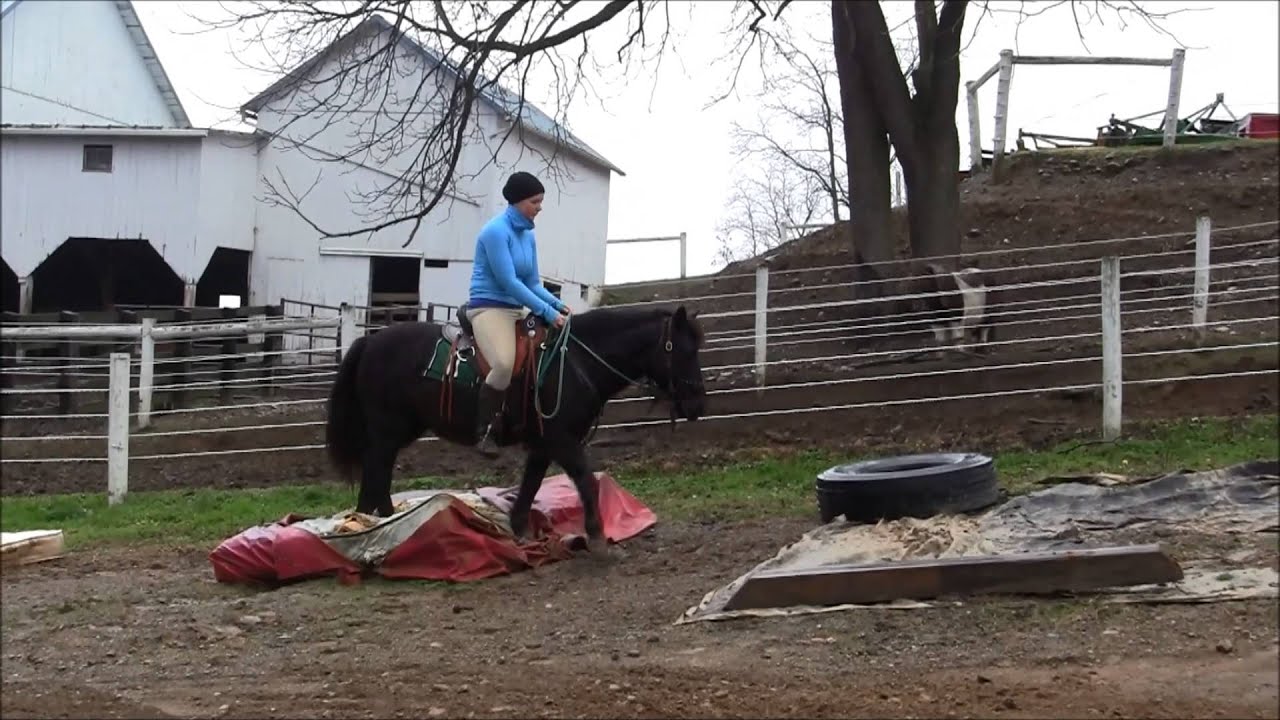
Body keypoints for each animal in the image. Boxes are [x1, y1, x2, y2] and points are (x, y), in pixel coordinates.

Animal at [323, 303, 708, 554]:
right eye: (684, 350)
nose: (697, 406)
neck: (574, 361)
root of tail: (370, 342)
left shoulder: (543, 444)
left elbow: (530, 485)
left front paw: (520, 530)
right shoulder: (562, 440)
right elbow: (586, 480)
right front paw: (597, 537)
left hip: (400, 430)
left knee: (378, 474)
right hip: (386, 431)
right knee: (376, 471)